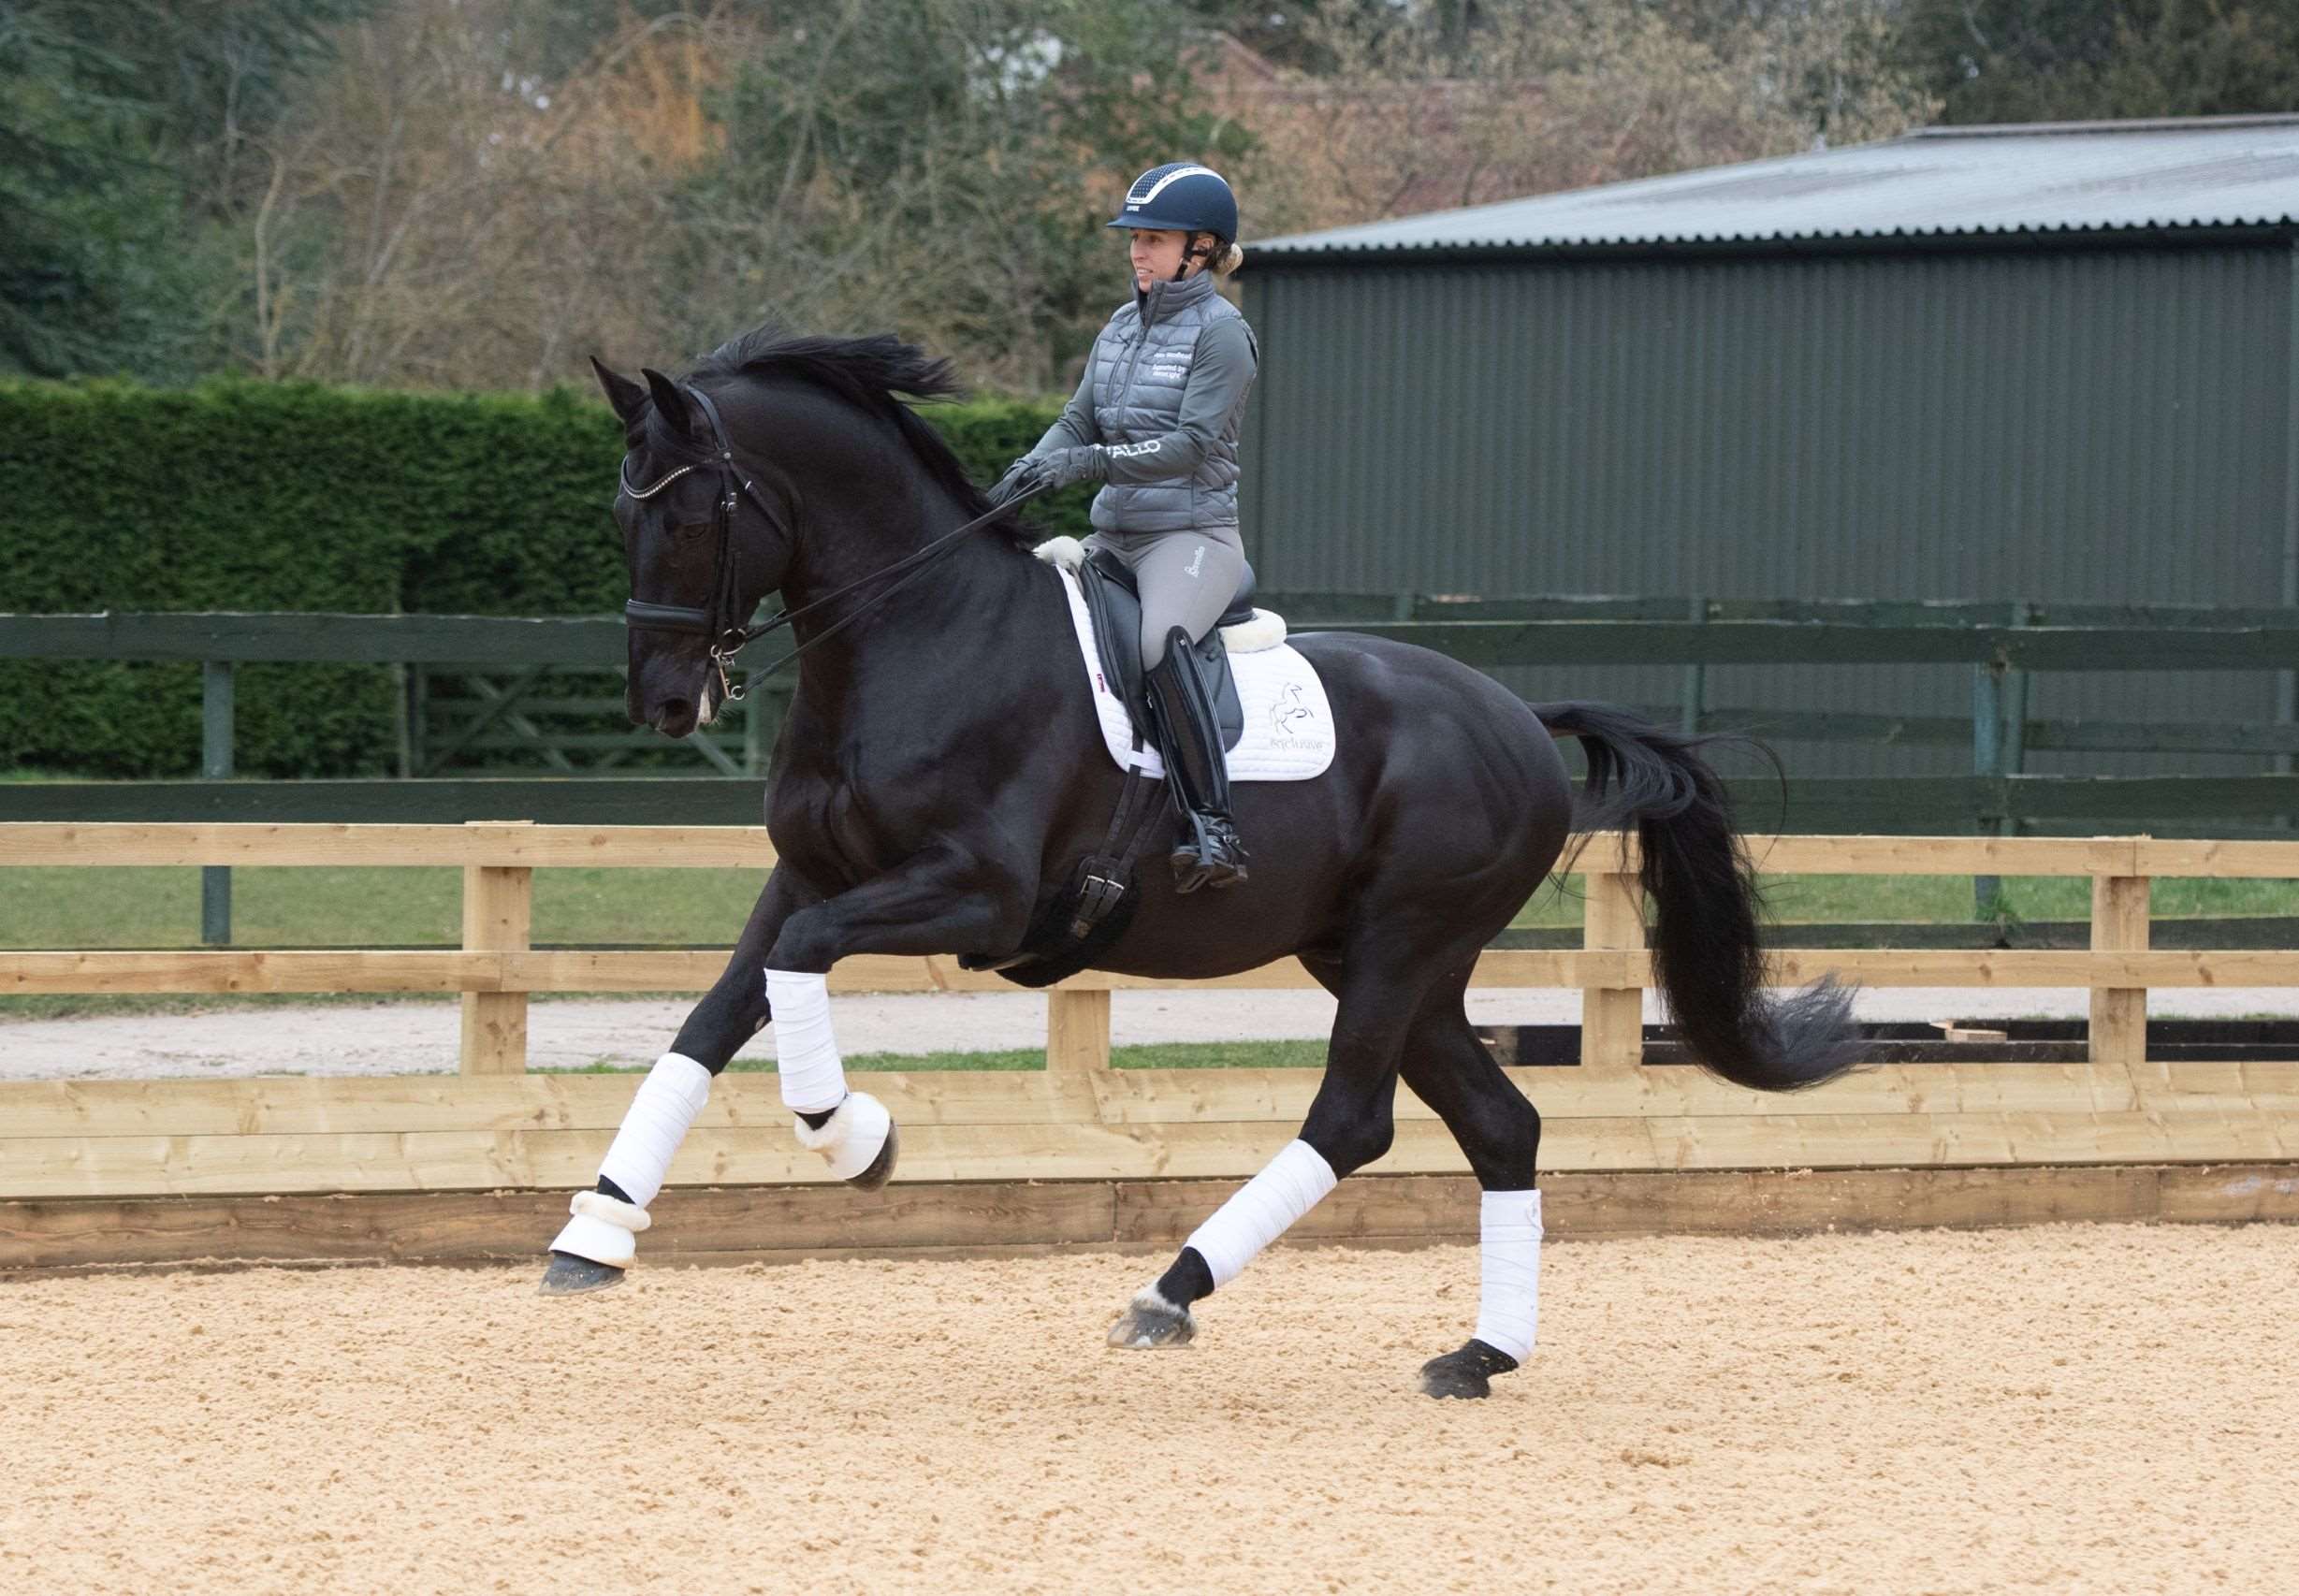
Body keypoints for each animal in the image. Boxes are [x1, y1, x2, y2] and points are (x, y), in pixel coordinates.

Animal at [547, 328, 1861, 1400]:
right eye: (617, 518)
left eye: (691, 519)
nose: (665, 701)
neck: (917, 634)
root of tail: (1521, 721)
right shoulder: (808, 878)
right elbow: (716, 1015)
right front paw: (595, 1231)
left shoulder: (978, 894)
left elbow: (800, 971)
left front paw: (851, 1134)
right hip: (1385, 959)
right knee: (1501, 1125)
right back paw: (1480, 1353)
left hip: (1404, 943)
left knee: (1352, 1119)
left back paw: (1168, 1293)